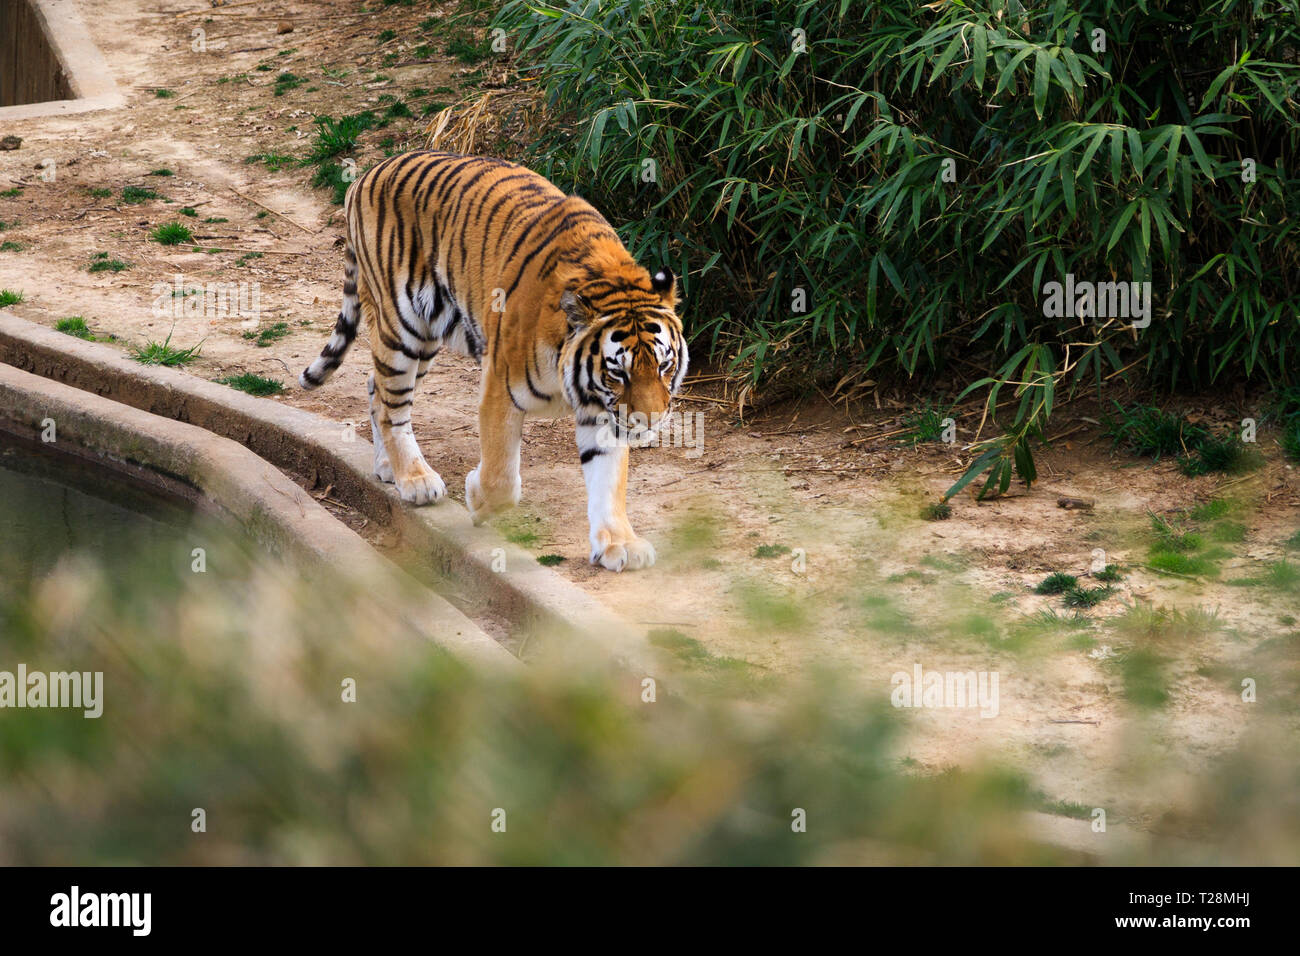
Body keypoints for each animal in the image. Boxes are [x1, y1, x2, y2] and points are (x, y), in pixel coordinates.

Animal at [299, 151, 689, 572]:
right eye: (619, 372)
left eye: (664, 366)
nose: (649, 422)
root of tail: (367, 173)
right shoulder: (501, 386)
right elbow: (501, 477)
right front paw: (477, 499)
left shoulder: (601, 409)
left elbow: (608, 478)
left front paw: (619, 543)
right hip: (402, 327)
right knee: (392, 407)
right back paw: (416, 480)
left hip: (426, 341)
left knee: (376, 388)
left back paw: (389, 468)